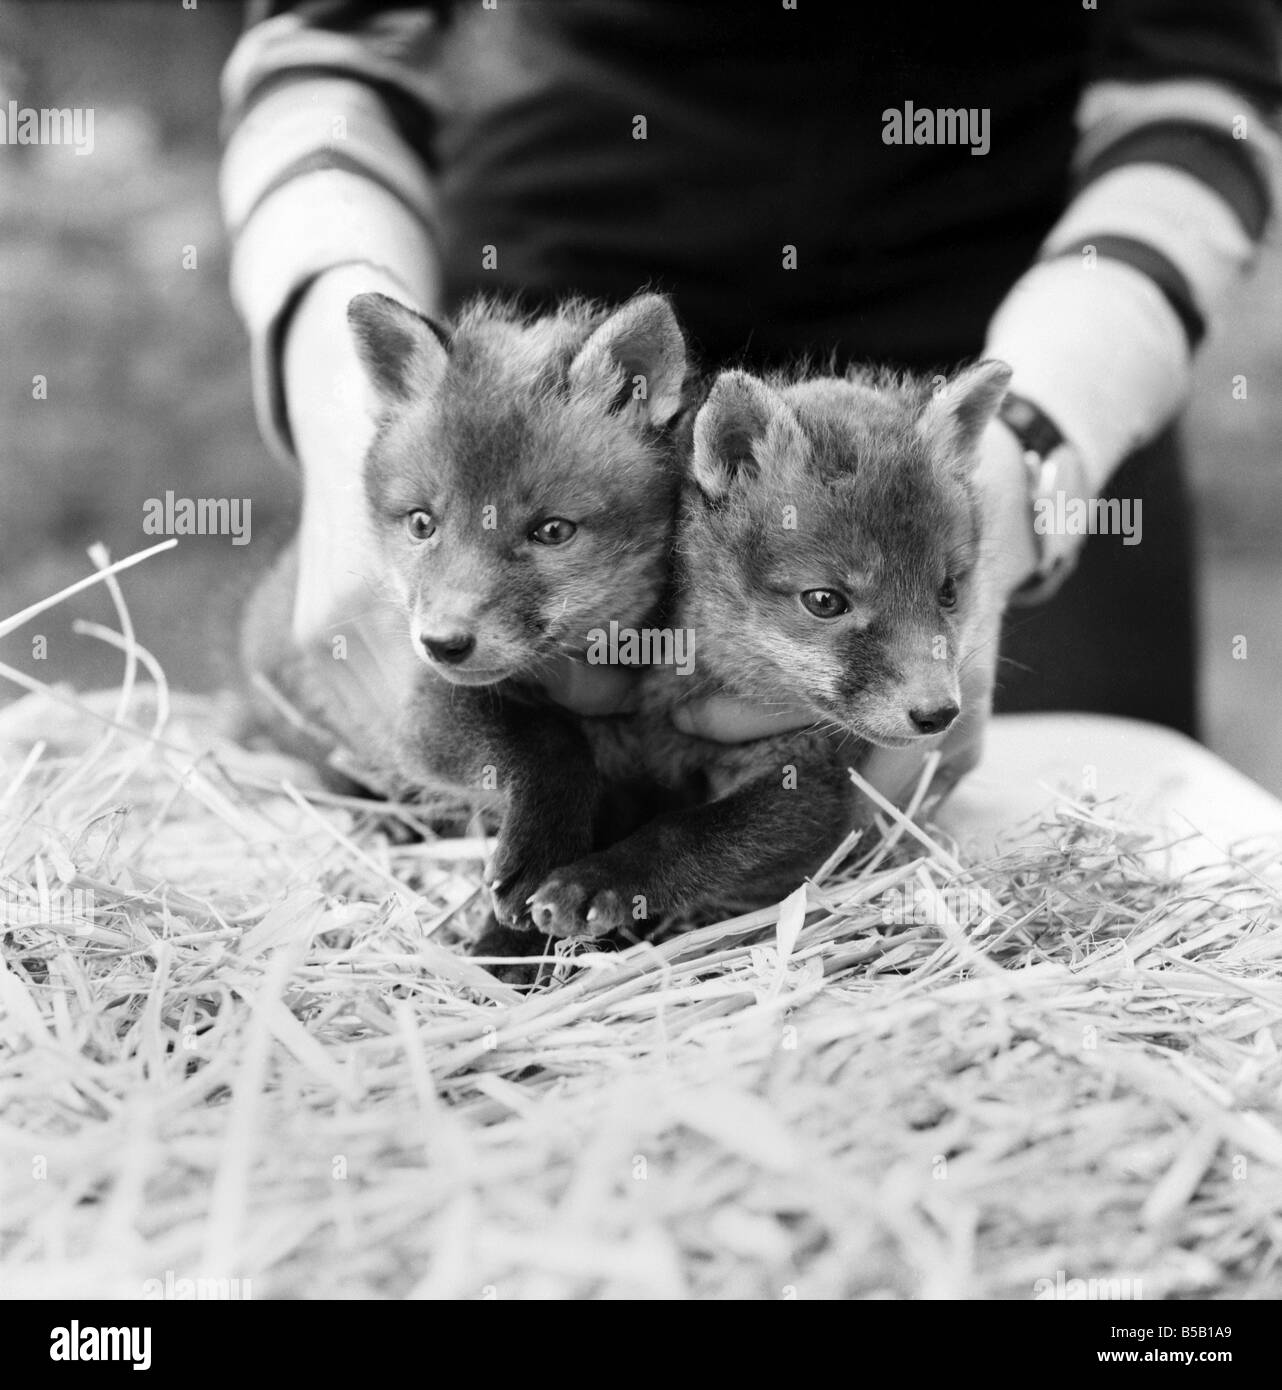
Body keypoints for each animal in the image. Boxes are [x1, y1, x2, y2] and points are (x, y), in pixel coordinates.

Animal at [240, 290, 692, 930]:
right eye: (421, 523)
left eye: (553, 530)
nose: (443, 643)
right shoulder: (419, 709)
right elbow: (548, 742)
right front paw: (540, 847)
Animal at [525, 358, 1012, 939]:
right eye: (825, 601)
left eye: (949, 592)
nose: (938, 714)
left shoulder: (813, 783)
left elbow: (687, 834)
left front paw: (600, 880)